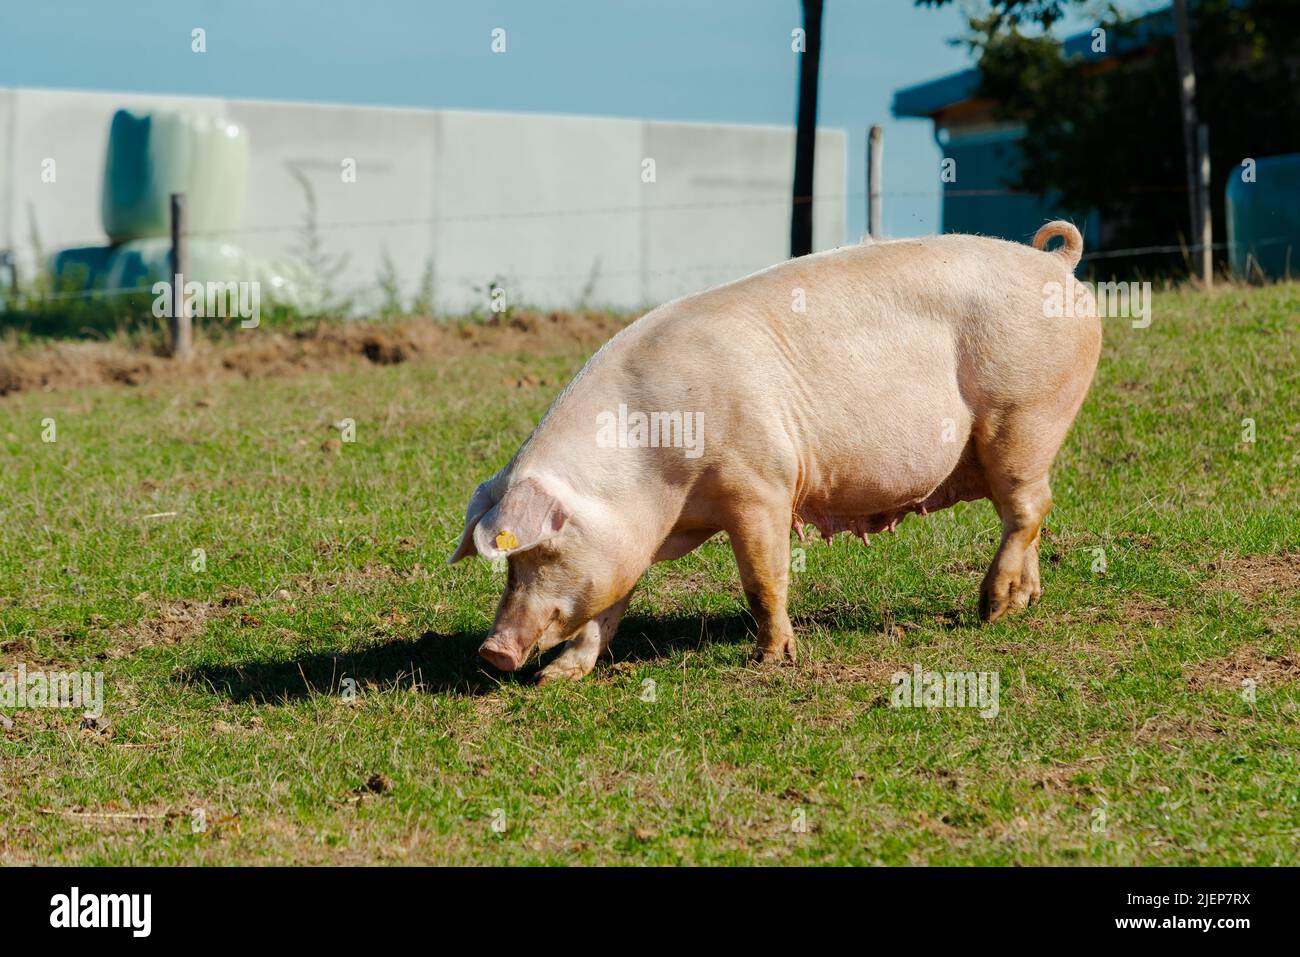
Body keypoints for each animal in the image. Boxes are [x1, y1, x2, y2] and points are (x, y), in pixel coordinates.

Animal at [449, 222, 1101, 683]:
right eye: (508, 561)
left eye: (540, 549)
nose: (493, 651)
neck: (653, 478)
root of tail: (1057, 262)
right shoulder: (635, 539)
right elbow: (609, 607)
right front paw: (558, 678)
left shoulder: (761, 483)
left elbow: (763, 578)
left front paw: (772, 659)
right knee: (1029, 511)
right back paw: (1020, 605)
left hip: (1024, 416)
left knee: (1029, 507)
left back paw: (988, 610)